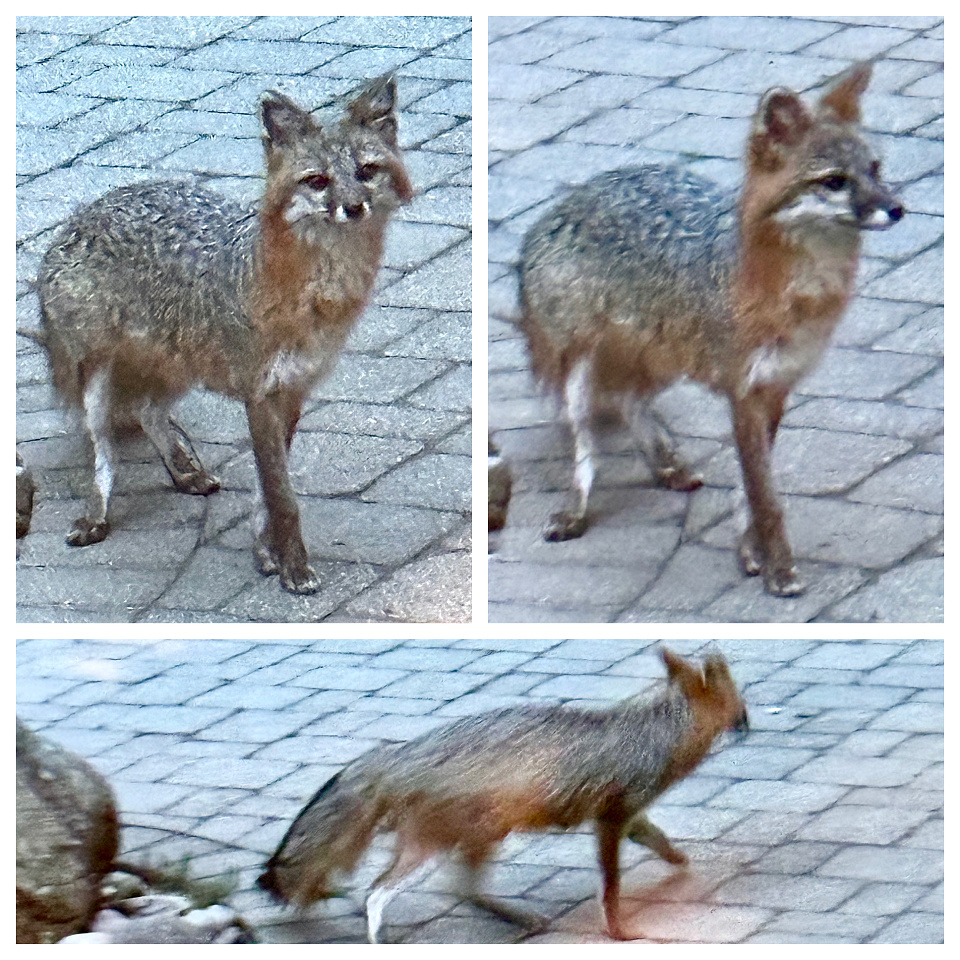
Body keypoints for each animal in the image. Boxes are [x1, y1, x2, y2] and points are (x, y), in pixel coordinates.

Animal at [33, 74, 414, 594]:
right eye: (317, 180)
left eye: (367, 171)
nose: (354, 207)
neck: (312, 293)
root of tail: (82, 214)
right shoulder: (260, 393)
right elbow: (281, 496)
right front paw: (295, 568)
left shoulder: (292, 391)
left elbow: (265, 492)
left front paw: (267, 554)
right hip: (98, 379)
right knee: (105, 451)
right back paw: (96, 517)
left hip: (180, 366)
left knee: (148, 411)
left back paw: (184, 472)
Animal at [258, 647, 749, 942]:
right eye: (741, 705)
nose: (749, 726)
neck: (656, 730)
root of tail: (400, 754)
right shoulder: (611, 818)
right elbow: (610, 885)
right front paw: (618, 928)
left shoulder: (628, 815)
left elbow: (660, 841)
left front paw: (681, 864)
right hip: (465, 837)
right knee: (399, 891)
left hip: (454, 840)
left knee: (448, 890)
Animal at [519, 61, 903, 596]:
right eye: (834, 181)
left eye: (875, 170)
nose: (898, 209)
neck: (792, 294)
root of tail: (563, 203)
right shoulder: (743, 390)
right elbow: (763, 494)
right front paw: (781, 571)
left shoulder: (775, 387)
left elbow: (750, 488)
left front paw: (751, 553)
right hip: (583, 370)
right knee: (586, 442)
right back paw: (576, 511)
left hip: (664, 360)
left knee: (629, 401)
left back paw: (667, 465)